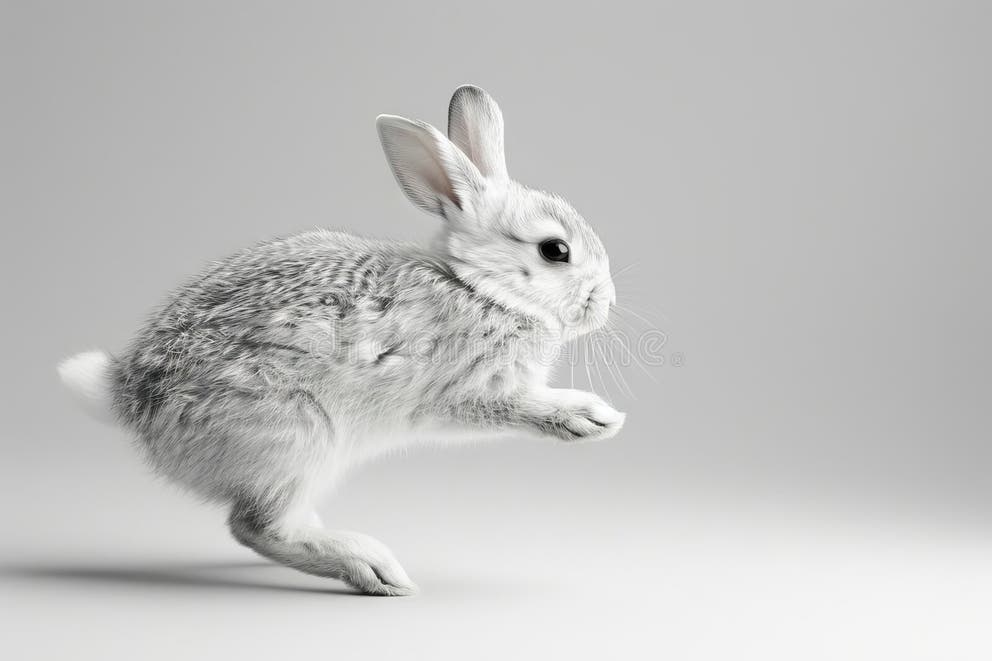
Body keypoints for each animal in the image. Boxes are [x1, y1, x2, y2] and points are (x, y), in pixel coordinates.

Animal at [57, 85, 625, 596]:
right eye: (555, 250)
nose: (606, 301)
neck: (478, 286)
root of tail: (128, 398)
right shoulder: (473, 392)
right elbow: (523, 406)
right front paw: (591, 417)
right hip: (297, 434)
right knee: (256, 527)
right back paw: (371, 567)